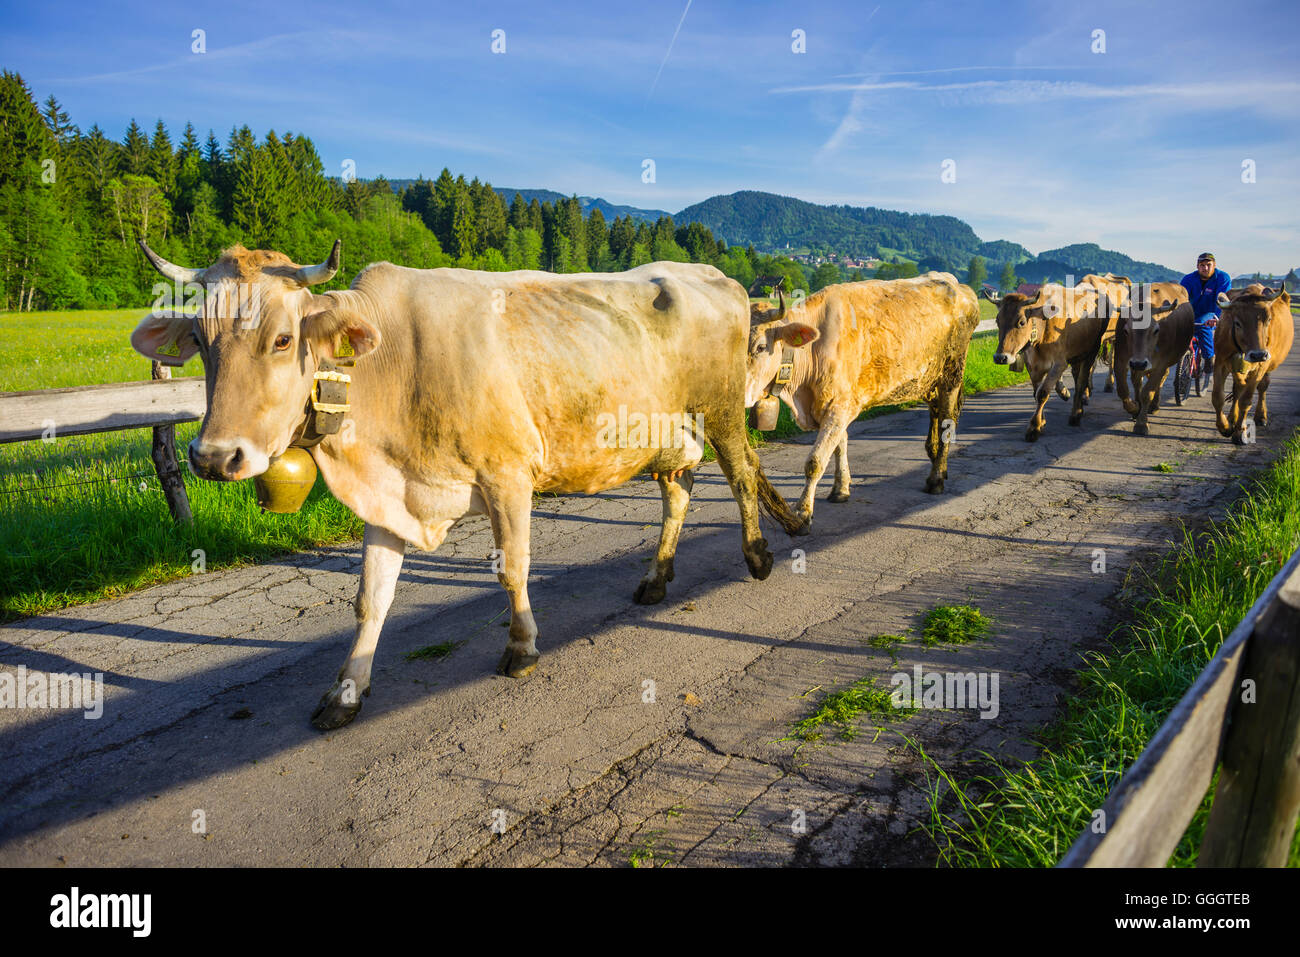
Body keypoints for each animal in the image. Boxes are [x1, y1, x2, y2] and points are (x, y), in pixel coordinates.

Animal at [130, 241, 806, 729]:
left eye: (282, 339)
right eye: (202, 343)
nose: (214, 456)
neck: (393, 365)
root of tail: (709, 272)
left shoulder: (508, 473)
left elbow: (513, 569)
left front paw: (522, 648)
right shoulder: (389, 496)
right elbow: (371, 598)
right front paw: (346, 692)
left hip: (722, 410)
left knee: (741, 474)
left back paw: (756, 554)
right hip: (670, 433)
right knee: (678, 491)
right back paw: (656, 577)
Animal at [744, 272, 979, 527]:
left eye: (760, 347)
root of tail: (956, 284)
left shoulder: (839, 407)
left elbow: (815, 462)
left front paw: (802, 512)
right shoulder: (835, 405)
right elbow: (840, 445)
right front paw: (841, 489)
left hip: (952, 375)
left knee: (947, 420)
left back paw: (936, 478)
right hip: (929, 380)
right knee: (935, 412)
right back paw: (937, 461)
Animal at [991, 282, 1105, 441]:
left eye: (1021, 322)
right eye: (997, 321)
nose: (1000, 357)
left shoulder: (1059, 364)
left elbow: (1043, 393)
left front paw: (1034, 427)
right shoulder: (1033, 366)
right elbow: (1036, 392)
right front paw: (1042, 422)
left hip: (1091, 352)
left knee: (1081, 382)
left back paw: (1075, 414)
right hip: (1076, 355)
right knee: (1077, 377)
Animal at [1113, 301, 1194, 436]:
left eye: (1156, 330)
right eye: (1125, 330)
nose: (1138, 364)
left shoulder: (1161, 364)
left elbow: (1147, 393)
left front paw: (1141, 424)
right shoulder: (1120, 360)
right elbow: (1123, 391)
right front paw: (1135, 409)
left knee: (1160, 379)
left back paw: (1154, 405)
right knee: (1138, 383)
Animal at [1211, 287, 1295, 444]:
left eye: (1268, 320)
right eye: (1237, 323)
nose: (1258, 355)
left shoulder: (1261, 366)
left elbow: (1246, 400)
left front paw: (1239, 433)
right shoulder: (1220, 362)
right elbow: (1218, 397)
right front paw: (1225, 427)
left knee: (1262, 386)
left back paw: (1260, 416)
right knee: (1238, 389)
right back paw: (1232, 418)